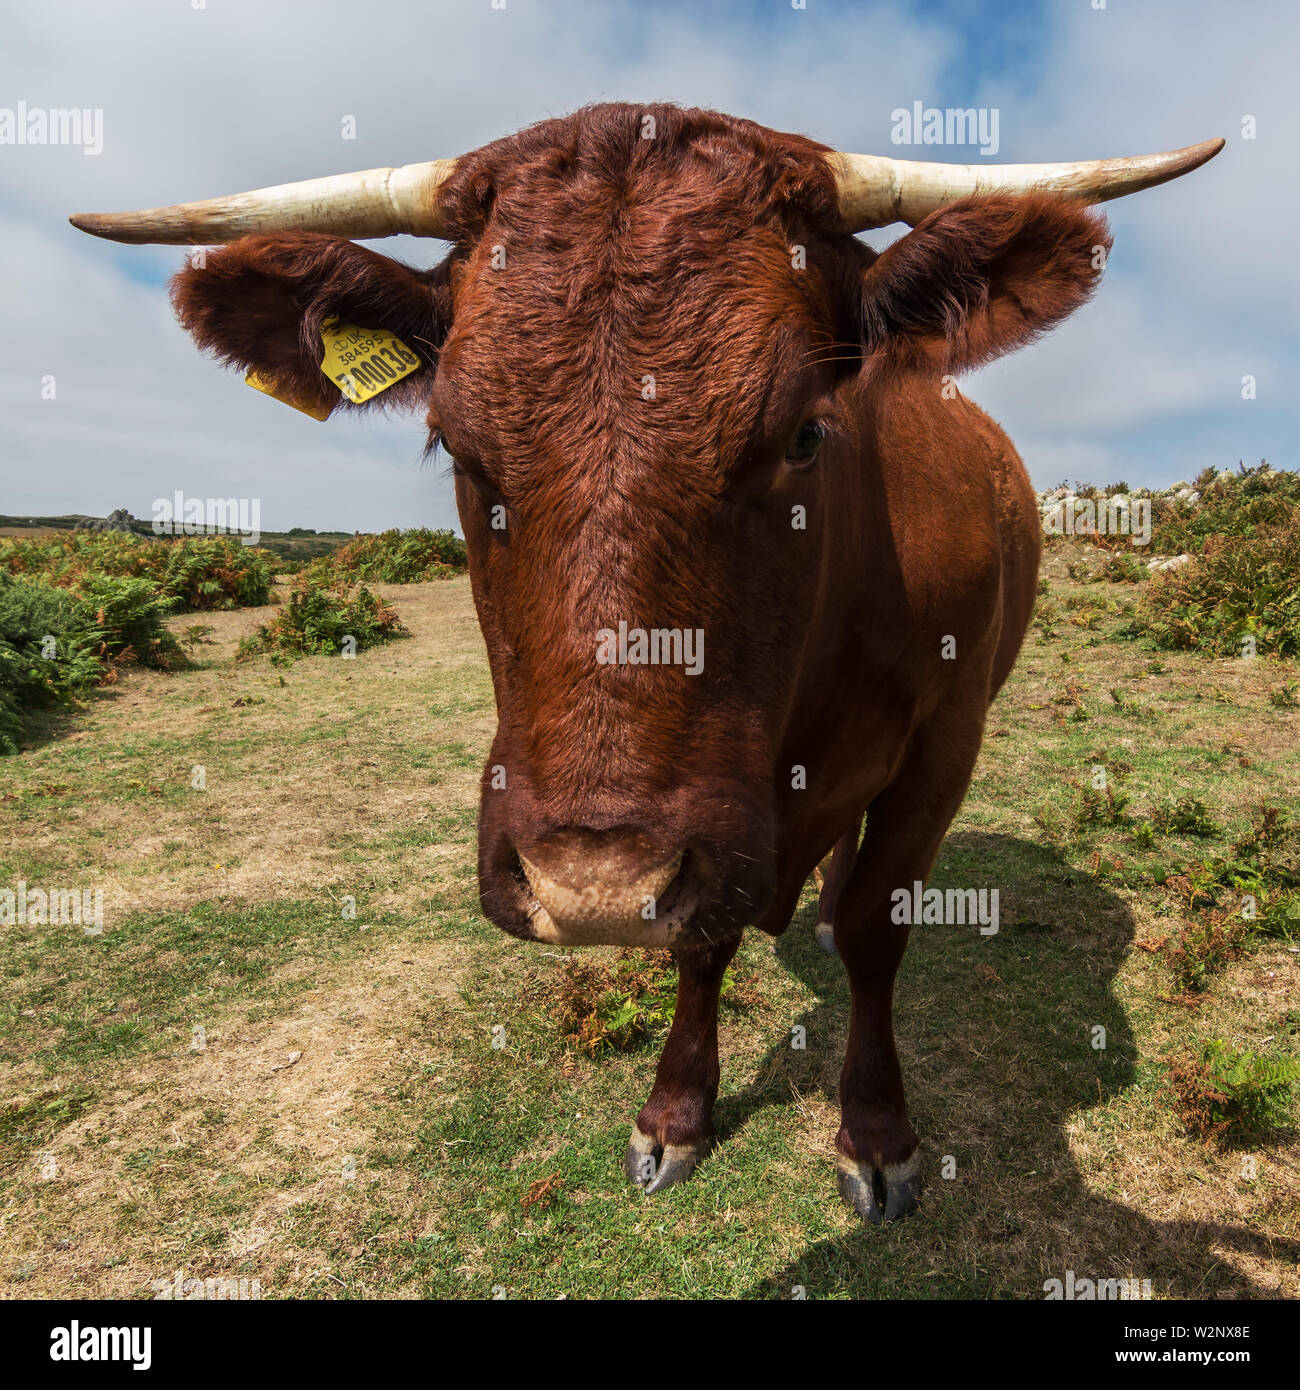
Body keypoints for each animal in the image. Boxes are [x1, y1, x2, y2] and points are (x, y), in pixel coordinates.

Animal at [72, 104, 1221, 1222]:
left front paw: (877, 1133)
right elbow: (701, 943)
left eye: (806, 434)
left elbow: (873, 929)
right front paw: (675, 1112)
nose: (591, 887)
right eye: (452, 444)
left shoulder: (946, 743)